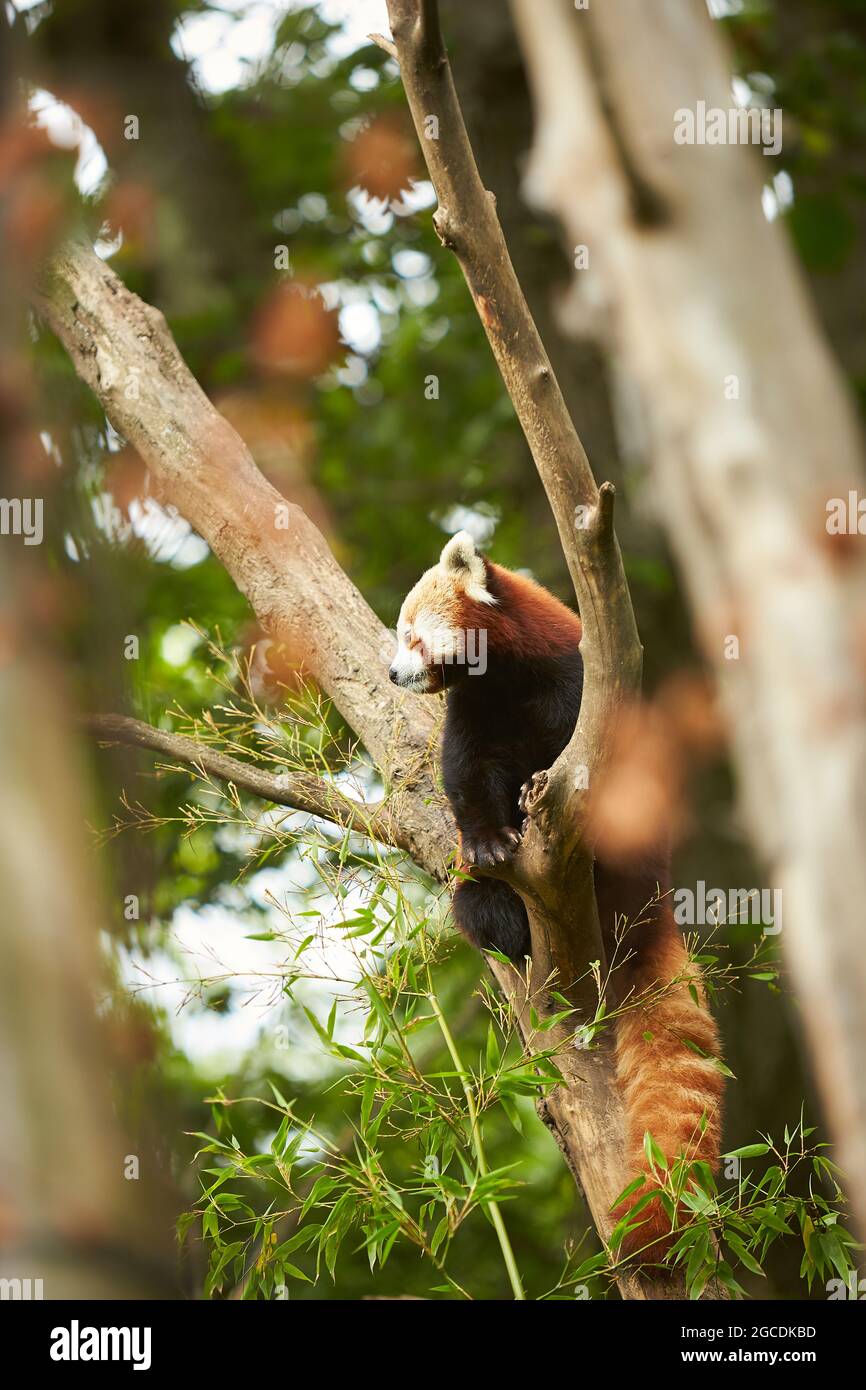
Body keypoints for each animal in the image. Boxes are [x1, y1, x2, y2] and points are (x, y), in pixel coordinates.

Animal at [390, 530, 724, 1258]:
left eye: (412, 637)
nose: (394, 676)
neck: (507, 677)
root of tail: (649, 910)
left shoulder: (577, 690)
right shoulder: (475, 717)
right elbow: (467, 781)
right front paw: (491, 840)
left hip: (638, 870)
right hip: (484, 899)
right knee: (476, 905)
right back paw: (508, 922)